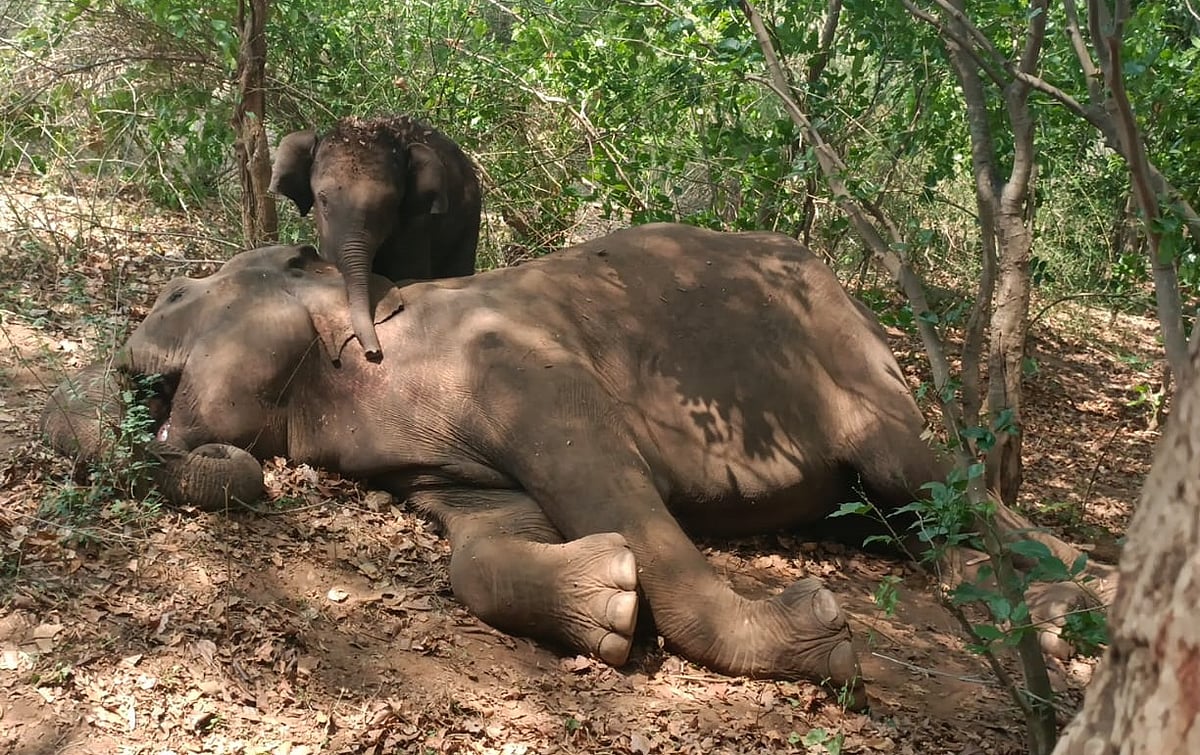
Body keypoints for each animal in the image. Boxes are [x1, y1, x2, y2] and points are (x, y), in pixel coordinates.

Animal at [41, 223, 1107, 709]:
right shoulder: (443, 464)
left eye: (179, 292)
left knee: (928, 482)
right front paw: (604, 601)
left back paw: (1074, 604)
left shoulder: (525, 365)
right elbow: (480, 541)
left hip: (855, 367)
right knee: (919, 519)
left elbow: (612, 484)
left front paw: (818, 630)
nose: (138, 387)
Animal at [269, 114, 482, 362]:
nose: (373, 353)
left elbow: (407, 274)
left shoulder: (416, 225)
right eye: (323, 200)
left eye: (389, 205)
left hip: (469, 220)